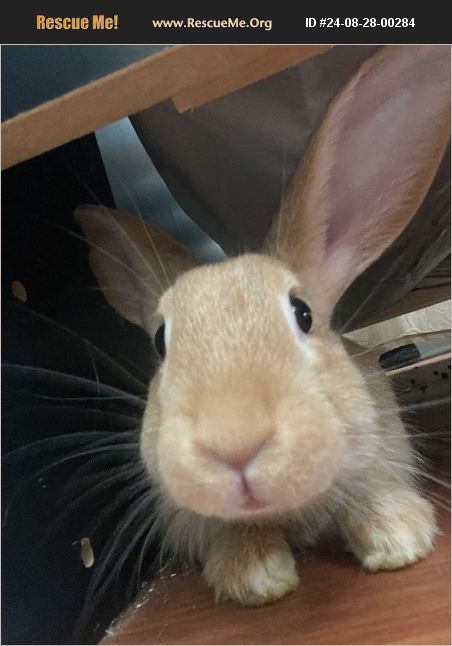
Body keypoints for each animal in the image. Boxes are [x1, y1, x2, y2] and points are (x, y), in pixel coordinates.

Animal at [75, 45, 450, 607]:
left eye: (303, 313)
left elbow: (371, 491)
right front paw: (253, 575)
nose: (234, 445)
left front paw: (398, 536)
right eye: (161, 342)